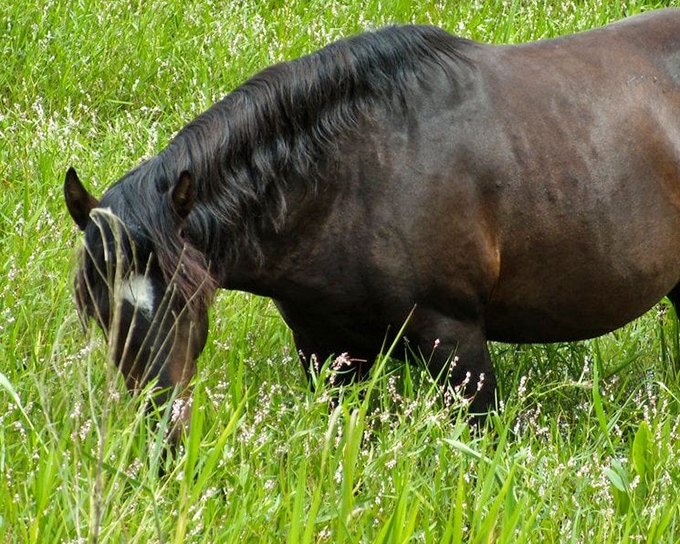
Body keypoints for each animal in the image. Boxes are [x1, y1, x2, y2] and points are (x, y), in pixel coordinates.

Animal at [65, 9, 680, 437]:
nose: (162, 440)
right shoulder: (325, 350)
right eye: (98, 309)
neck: (356, 178)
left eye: (186, 301)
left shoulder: (457, 340)